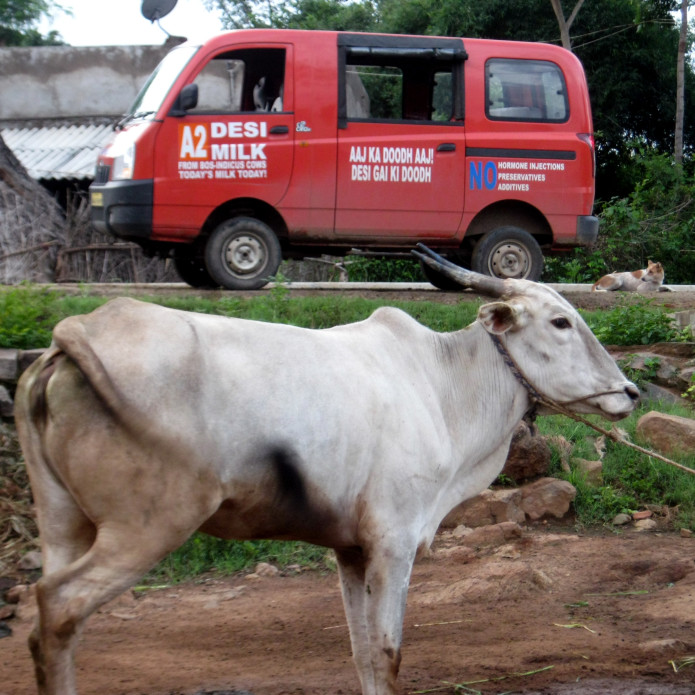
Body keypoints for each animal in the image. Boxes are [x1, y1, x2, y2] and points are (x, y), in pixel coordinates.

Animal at [15, 245, 639, 695]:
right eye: (560, 322)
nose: (629, 393)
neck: (442, 384)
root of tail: (76, 333)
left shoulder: (351, 548)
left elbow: (361, 653)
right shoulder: (393, 541)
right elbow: (388, 655)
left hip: (64, 523)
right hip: (145, 527)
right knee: (58, 609)